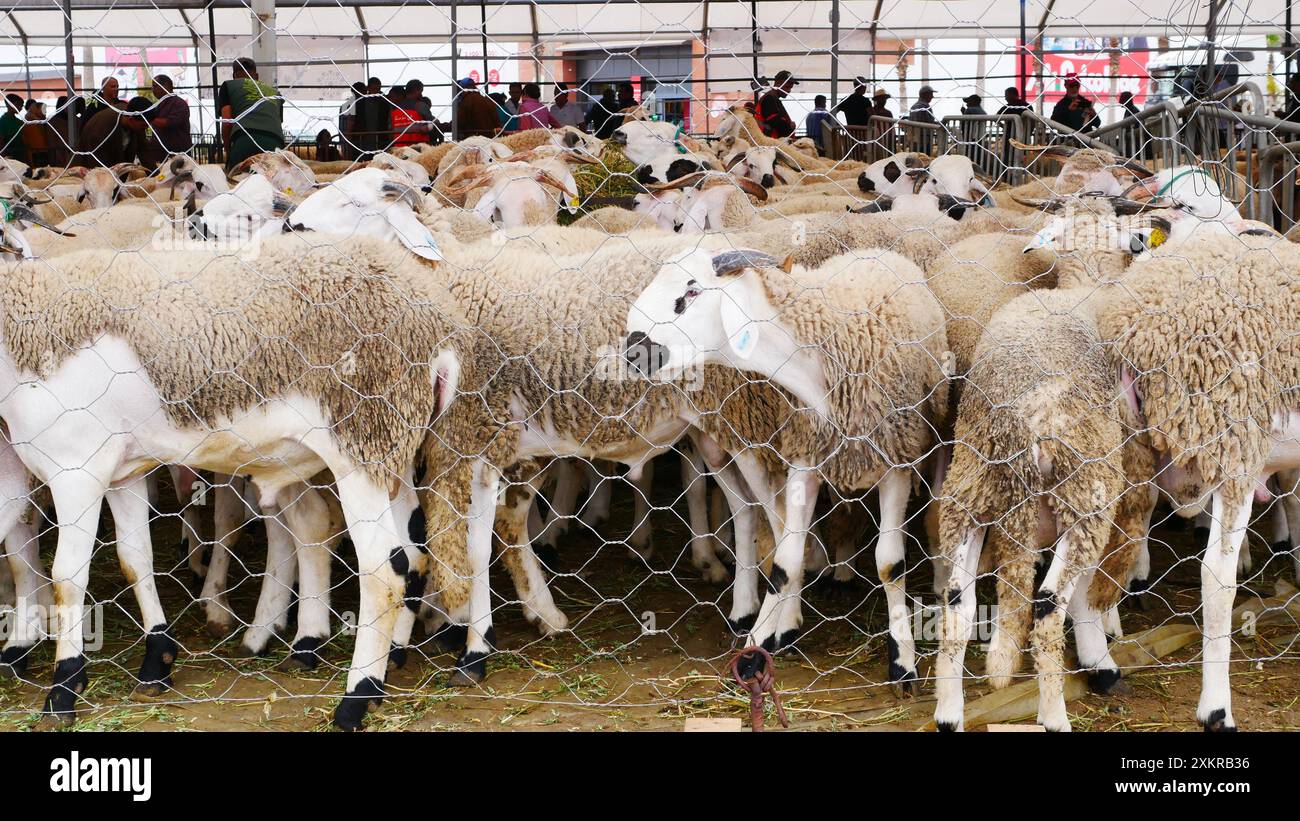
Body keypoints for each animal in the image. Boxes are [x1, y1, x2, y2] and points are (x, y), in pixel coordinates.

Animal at [0, 233, 468, 730]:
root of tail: (439, 326)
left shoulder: (76, 468)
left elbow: (67, 577)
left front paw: (63, 689)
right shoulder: (122, 472)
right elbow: (135, 560)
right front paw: (156, 662)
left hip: (362, 438)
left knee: (383, 572)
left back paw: (355, 698)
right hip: (393, 449)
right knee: (414, 553)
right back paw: (380, 669)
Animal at [623, 247, 951, 687]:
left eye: (692, 291)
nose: (631, 351)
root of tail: (875, 251)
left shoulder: (895, 461)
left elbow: (889, 564)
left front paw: (903, 661)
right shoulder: (805, 458)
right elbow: (784, 563)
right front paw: (756, 647)